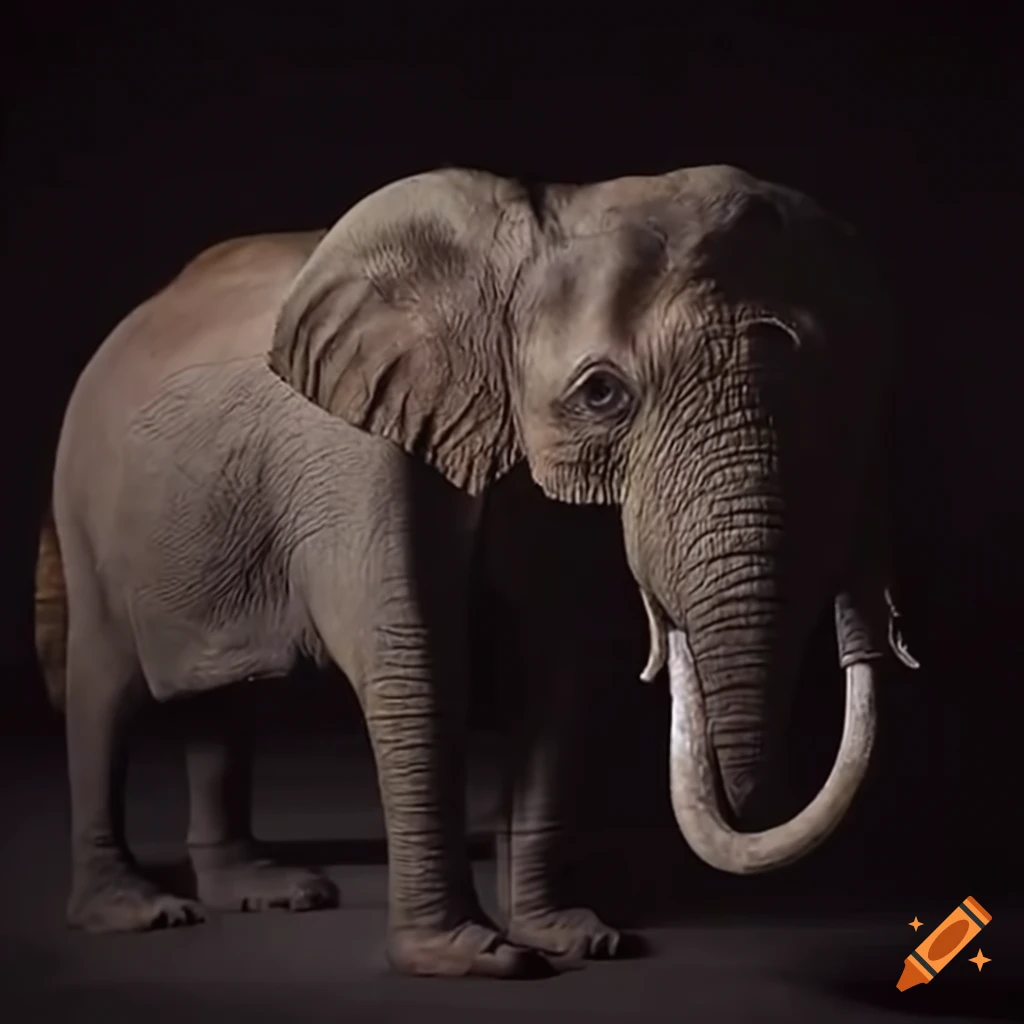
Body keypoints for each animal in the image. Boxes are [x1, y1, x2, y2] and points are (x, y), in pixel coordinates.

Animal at [34, 164, 916, 979]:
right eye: (603, 394)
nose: (872, 613)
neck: (545, 221)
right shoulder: (360, 448)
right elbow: (416, 663)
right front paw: (472, 958)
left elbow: (554, 665)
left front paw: (576, 938)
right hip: (85, 498)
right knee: (104, 688)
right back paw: (139, 911)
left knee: (222, 703)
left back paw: (268, 891)